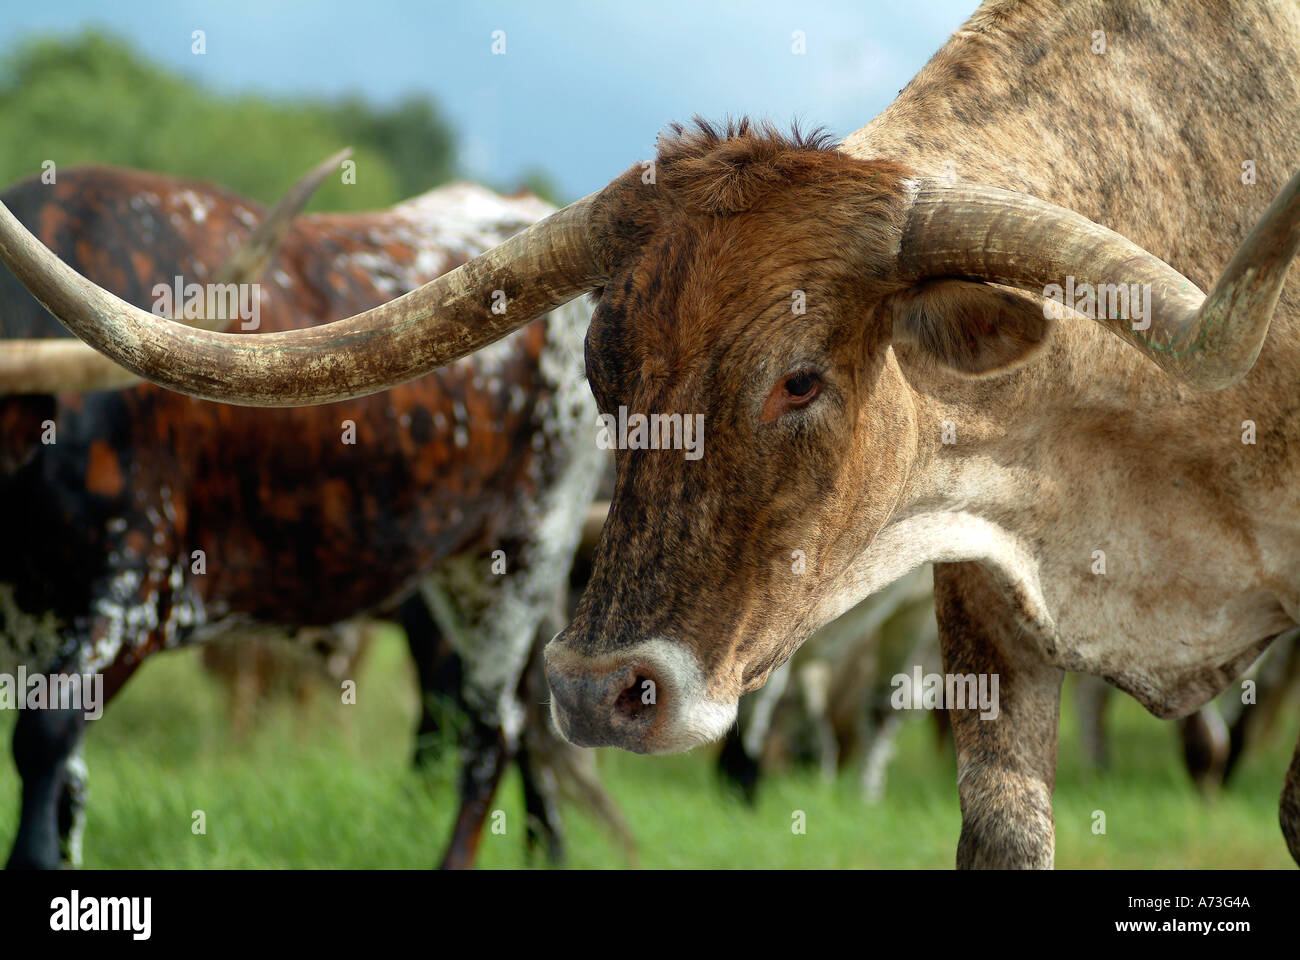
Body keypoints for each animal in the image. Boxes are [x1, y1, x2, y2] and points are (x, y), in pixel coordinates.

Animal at [0, 164, 605, 869]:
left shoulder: (134, 596)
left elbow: (43, 734)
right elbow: (68, 779)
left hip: (524, 554)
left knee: (489, 732)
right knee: (526, 723)